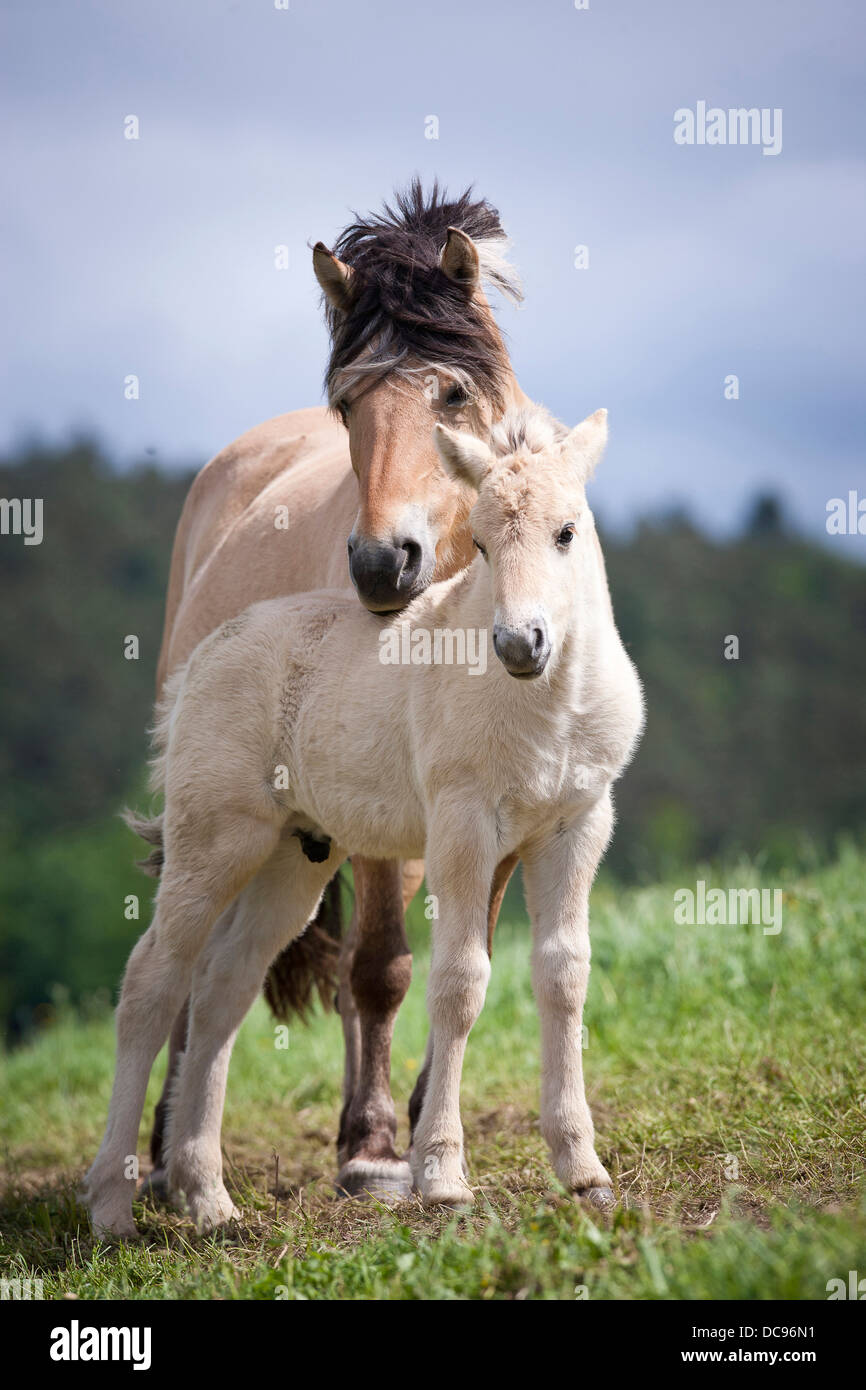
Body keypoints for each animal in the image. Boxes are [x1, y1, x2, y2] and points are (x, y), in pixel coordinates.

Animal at [84, 403, 644, 1237]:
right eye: (481, 543)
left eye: (567, 532)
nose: (520, 643)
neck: (545, 705)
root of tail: (199, 662)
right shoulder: (462, 825)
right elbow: (459, 982)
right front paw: (441, 1177)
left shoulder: (576, 824)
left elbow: (563, 976)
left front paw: (584, 1173)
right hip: (213, 837)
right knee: (155, 980)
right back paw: (114, 1206)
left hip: (293, 858)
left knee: (223, 988)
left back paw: (210, 1202)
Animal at [142, 181, 528, 1201]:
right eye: (351, 402)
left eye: (453, 391)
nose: (383, 563)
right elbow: (385, 969)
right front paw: (375, 1147)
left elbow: (463, 954)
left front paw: (416, 1132)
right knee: (196, 959)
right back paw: (159, 1156)